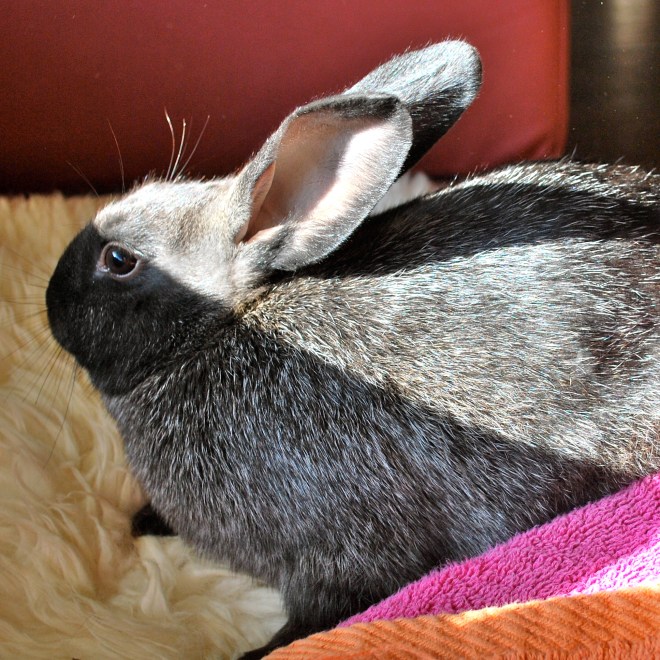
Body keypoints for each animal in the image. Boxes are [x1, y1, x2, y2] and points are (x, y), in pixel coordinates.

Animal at [46, 41, 659, 658]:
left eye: (118, 260)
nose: (50, 299)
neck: (216, 332)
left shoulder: (340, 554)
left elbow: (322, 611)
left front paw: (259, 652)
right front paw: (144, 521)